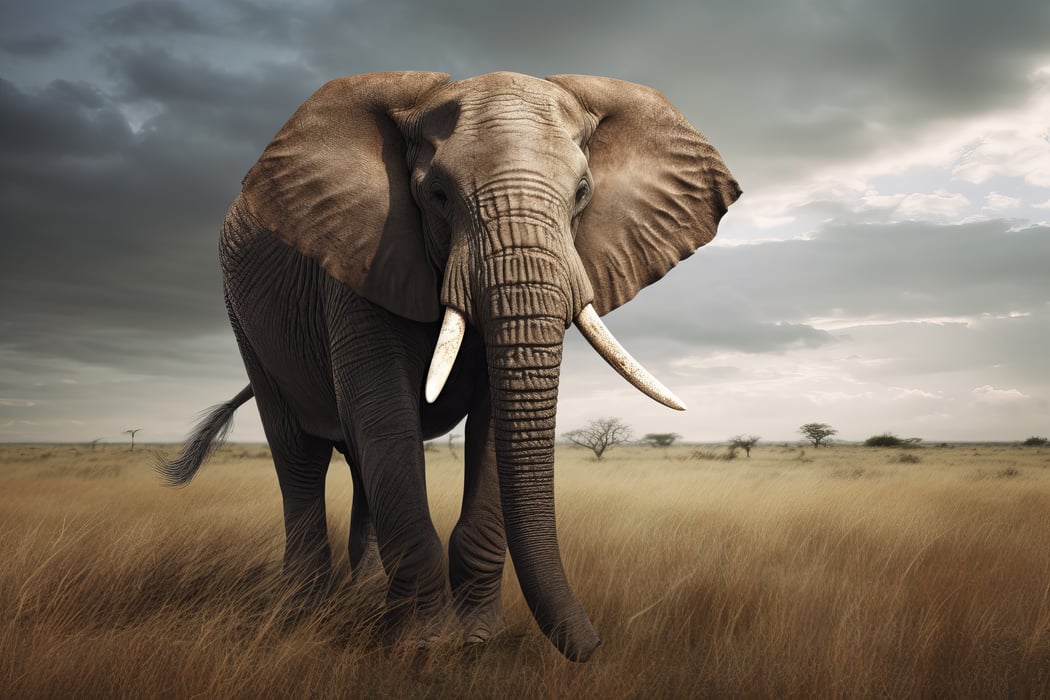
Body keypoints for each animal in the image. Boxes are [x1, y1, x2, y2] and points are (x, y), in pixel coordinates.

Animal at [159, 71, 739, 662]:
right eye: (437, 196)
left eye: (582, 193)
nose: (594, 647)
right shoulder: (359, 259)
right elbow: (386, 416)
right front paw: (421, 648)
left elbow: (490, 427)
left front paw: (480, 639)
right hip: (247, 324)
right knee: (300, 455)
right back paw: (303, 610)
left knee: (360, 466)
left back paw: (363, 598)